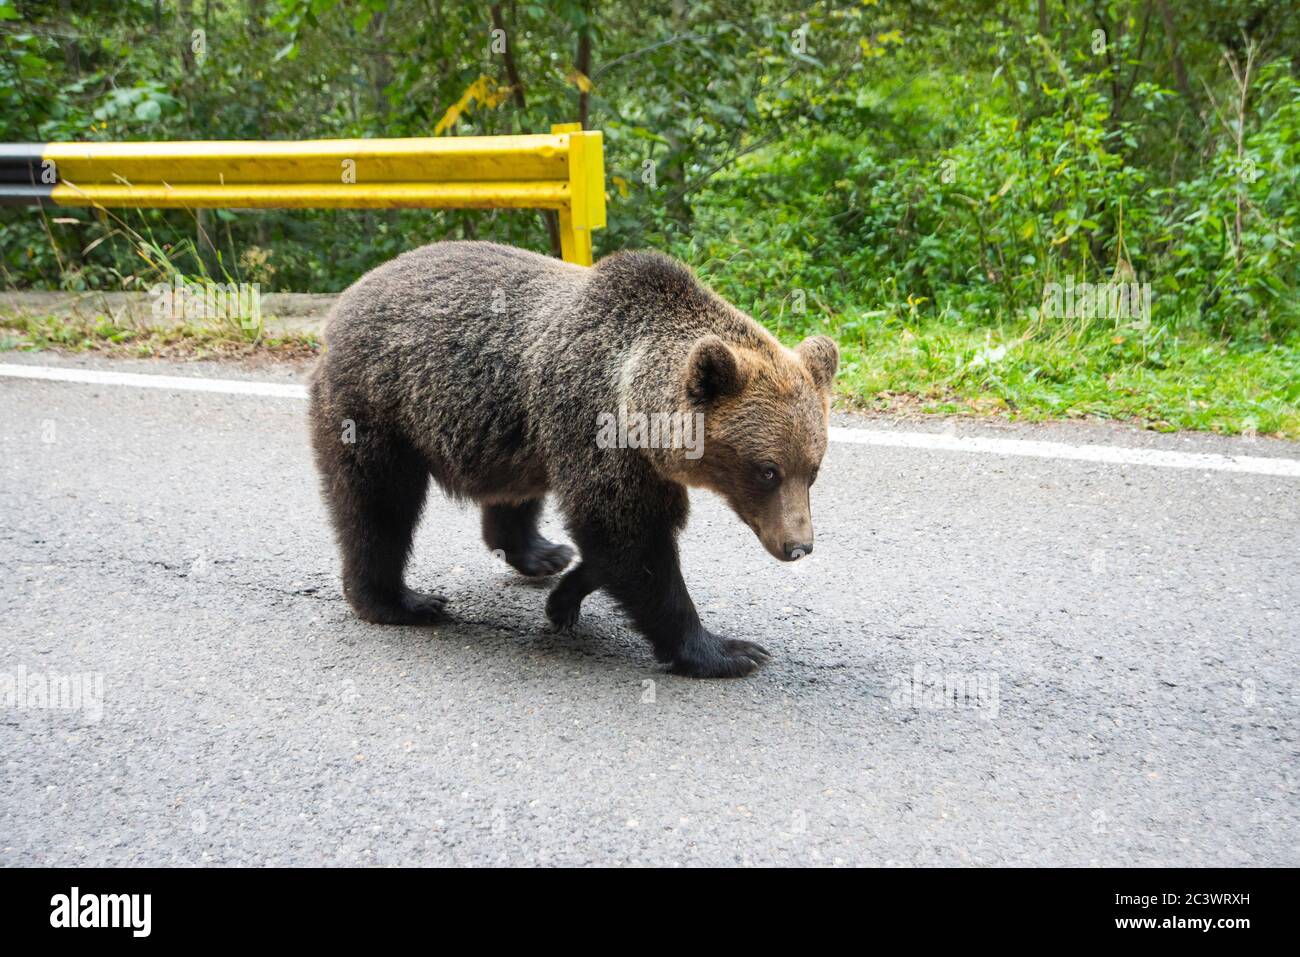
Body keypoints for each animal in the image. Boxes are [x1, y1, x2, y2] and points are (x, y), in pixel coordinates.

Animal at [308, 240, 837, 678]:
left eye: (812, 471)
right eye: (767, 471)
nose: (799, 546)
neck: (635, 399)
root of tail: (347, 298)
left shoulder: (631, 457)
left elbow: (621, 538)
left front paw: (565, 595)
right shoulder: (596, 428)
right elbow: (626, 535)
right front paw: (726, 650)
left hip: (511, 430)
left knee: (512, 492)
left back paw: (541, 552)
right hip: (376, 404)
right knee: (378, 505)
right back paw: (400, 601)